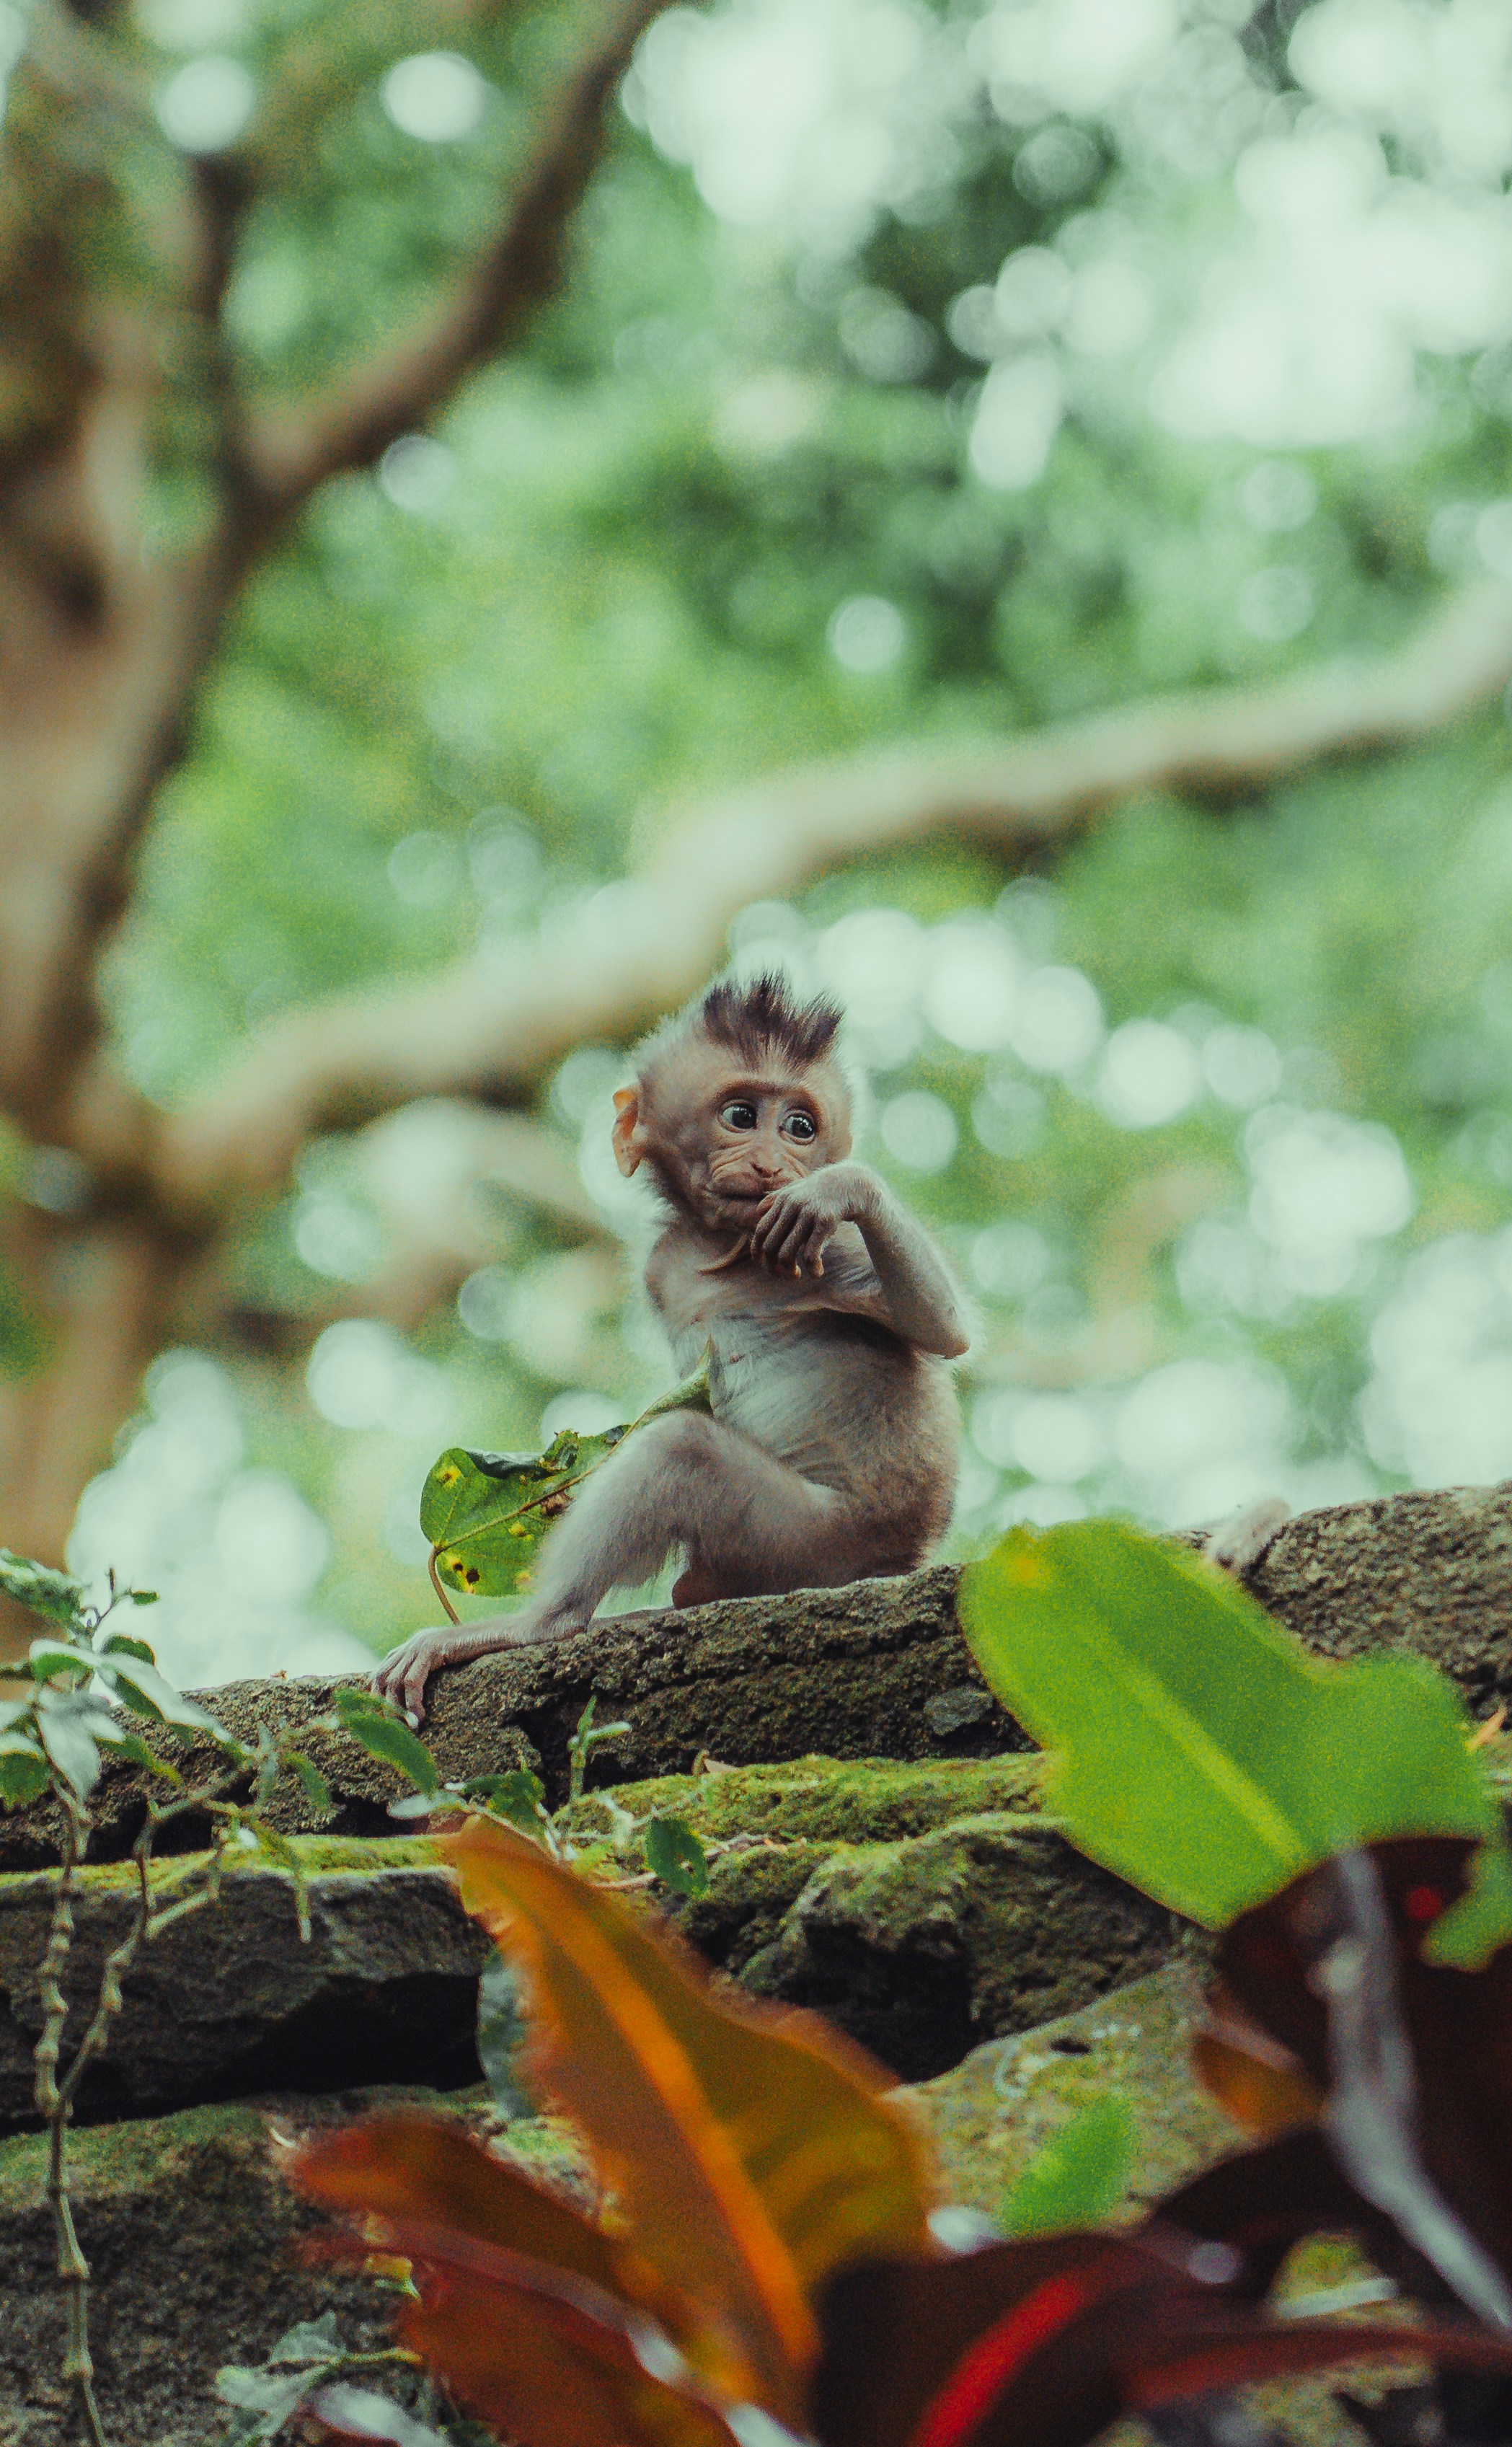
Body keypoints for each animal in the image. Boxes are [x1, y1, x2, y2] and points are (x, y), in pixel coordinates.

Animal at [373, 971, 970, 1722]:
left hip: (810, 1543)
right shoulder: (662, 1264)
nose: (774, 1163)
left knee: (679, 1450)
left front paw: (841, 1185)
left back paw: (543, 1623)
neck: (721, 1249)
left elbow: (942, 1326)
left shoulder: (822, 1250)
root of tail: (905, 1556)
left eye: (801, 1127)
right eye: (741, 1115)